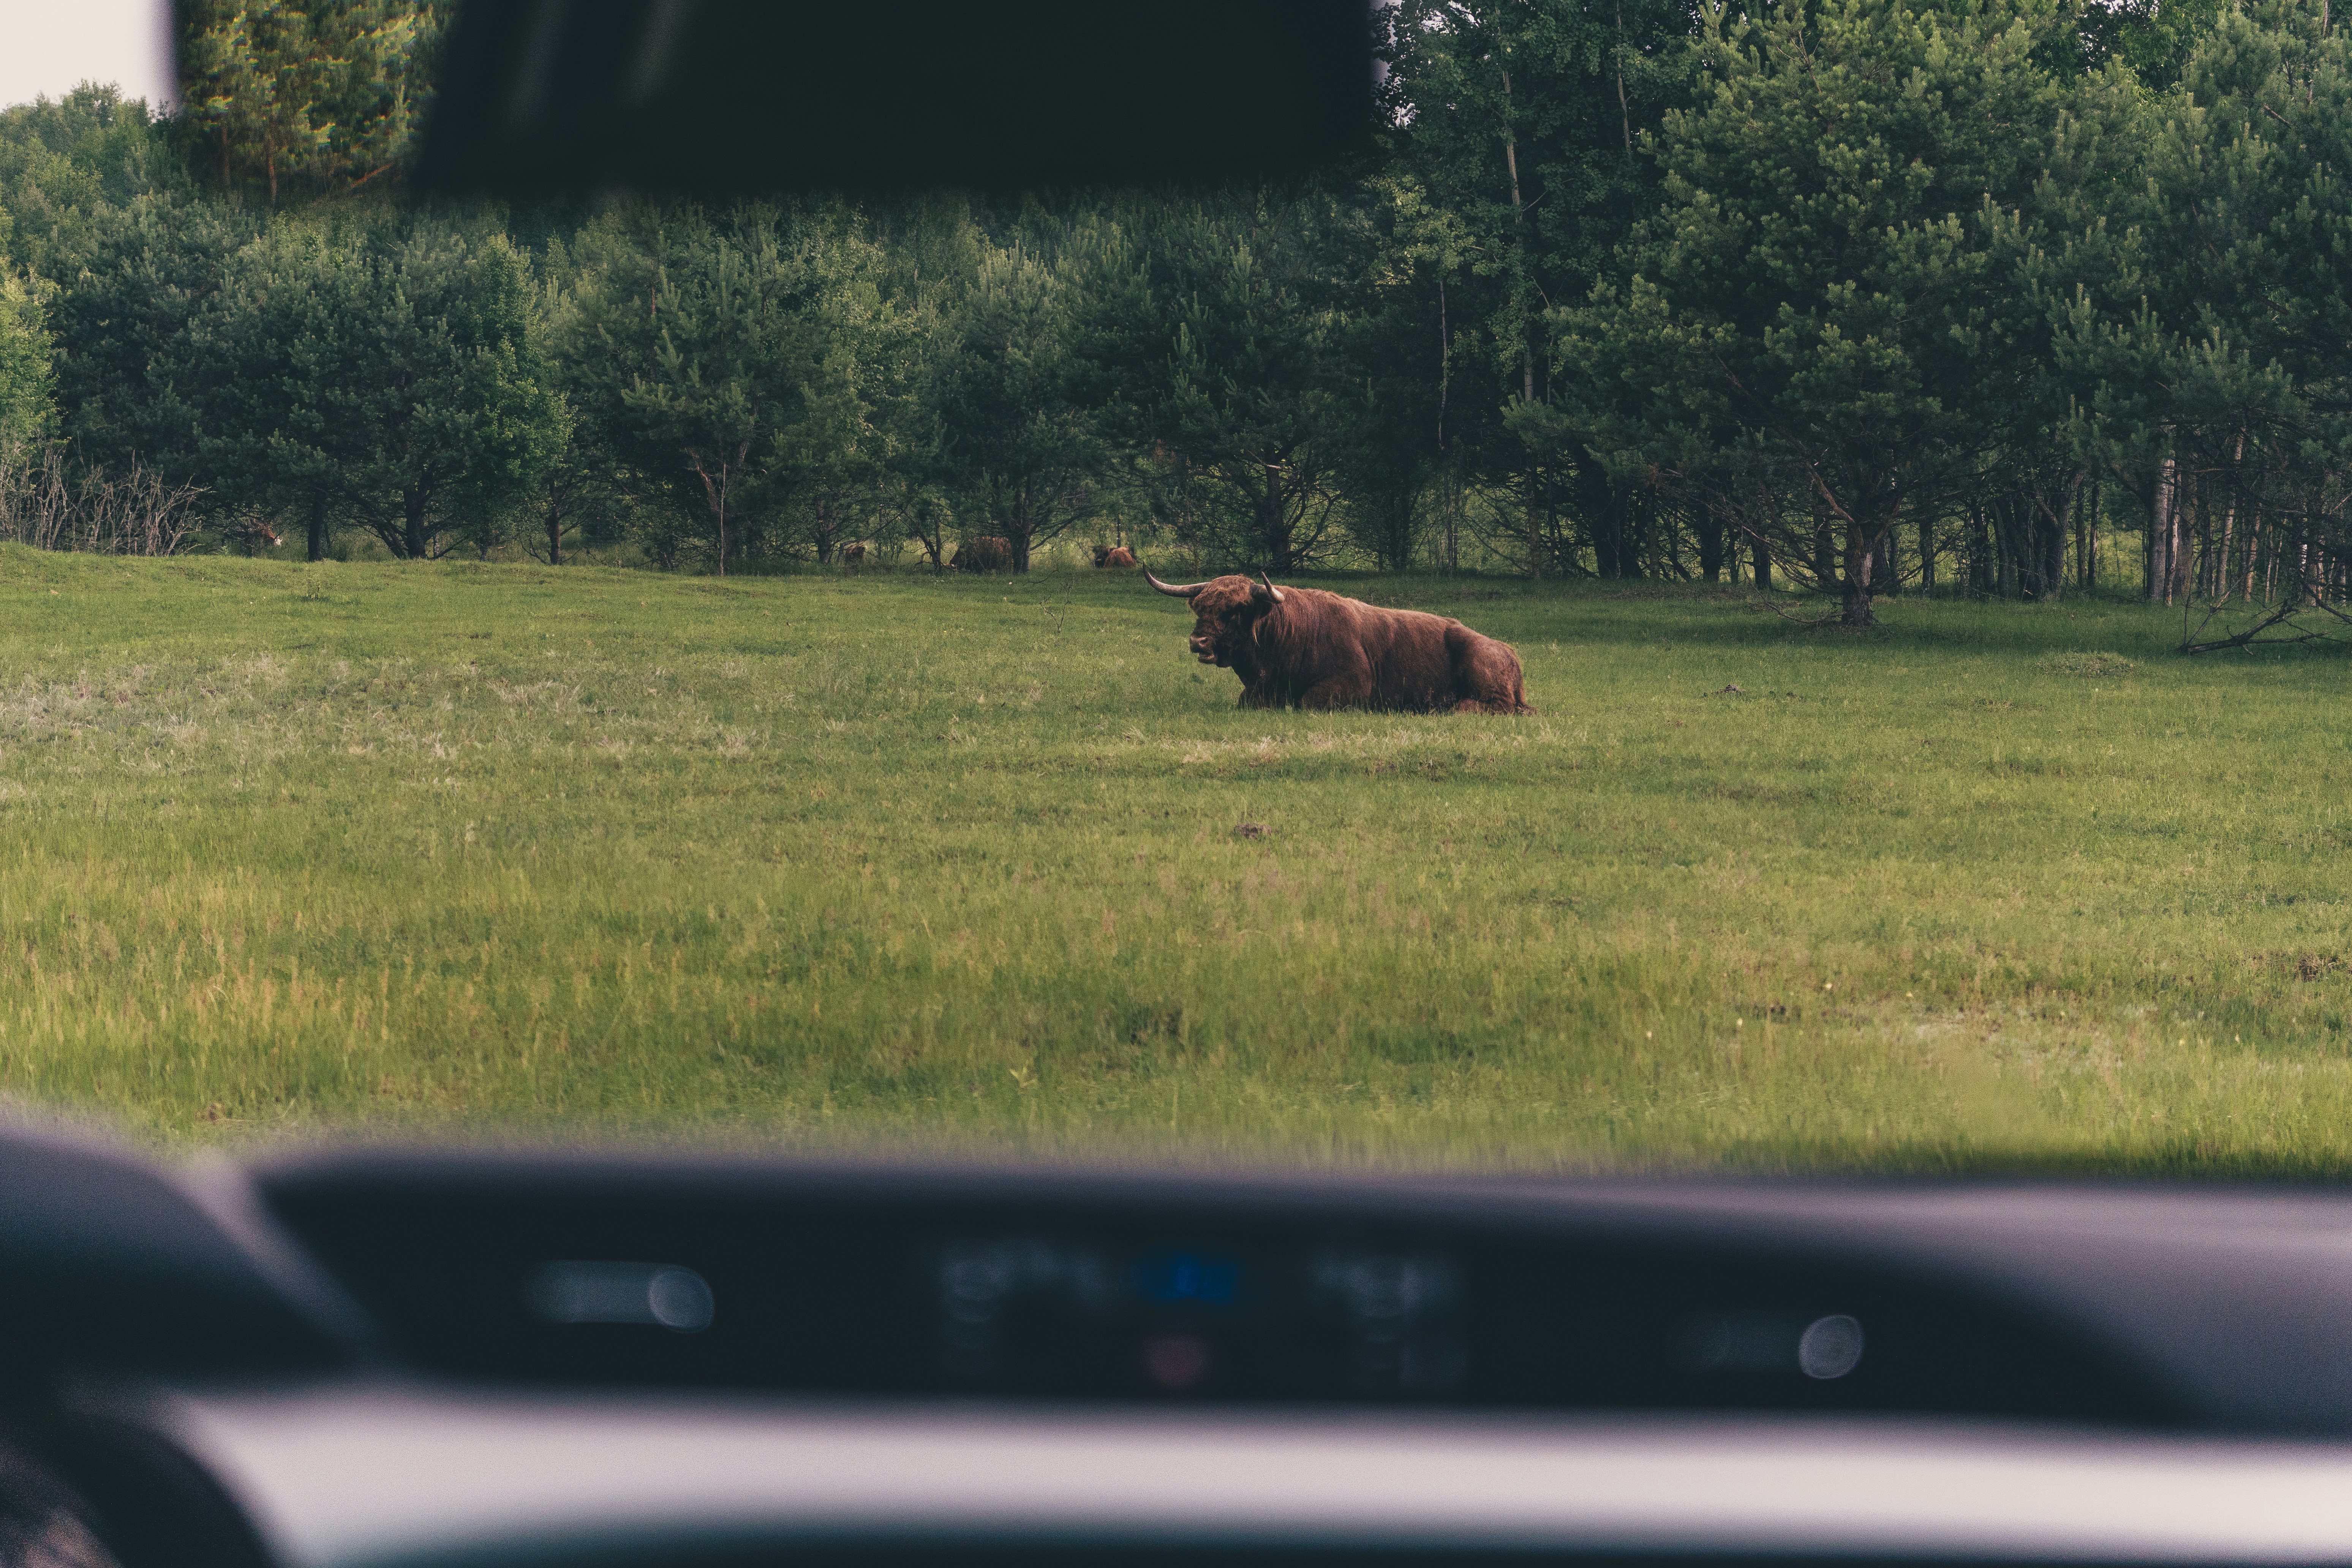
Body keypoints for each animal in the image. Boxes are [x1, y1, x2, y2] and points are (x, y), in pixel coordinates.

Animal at [1148, 569, 1532, 714]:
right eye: (1200, 607)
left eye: (1235, 611)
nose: (1199, 641)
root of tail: (1509, 654)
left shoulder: (1351, 685)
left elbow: (1306, 703)